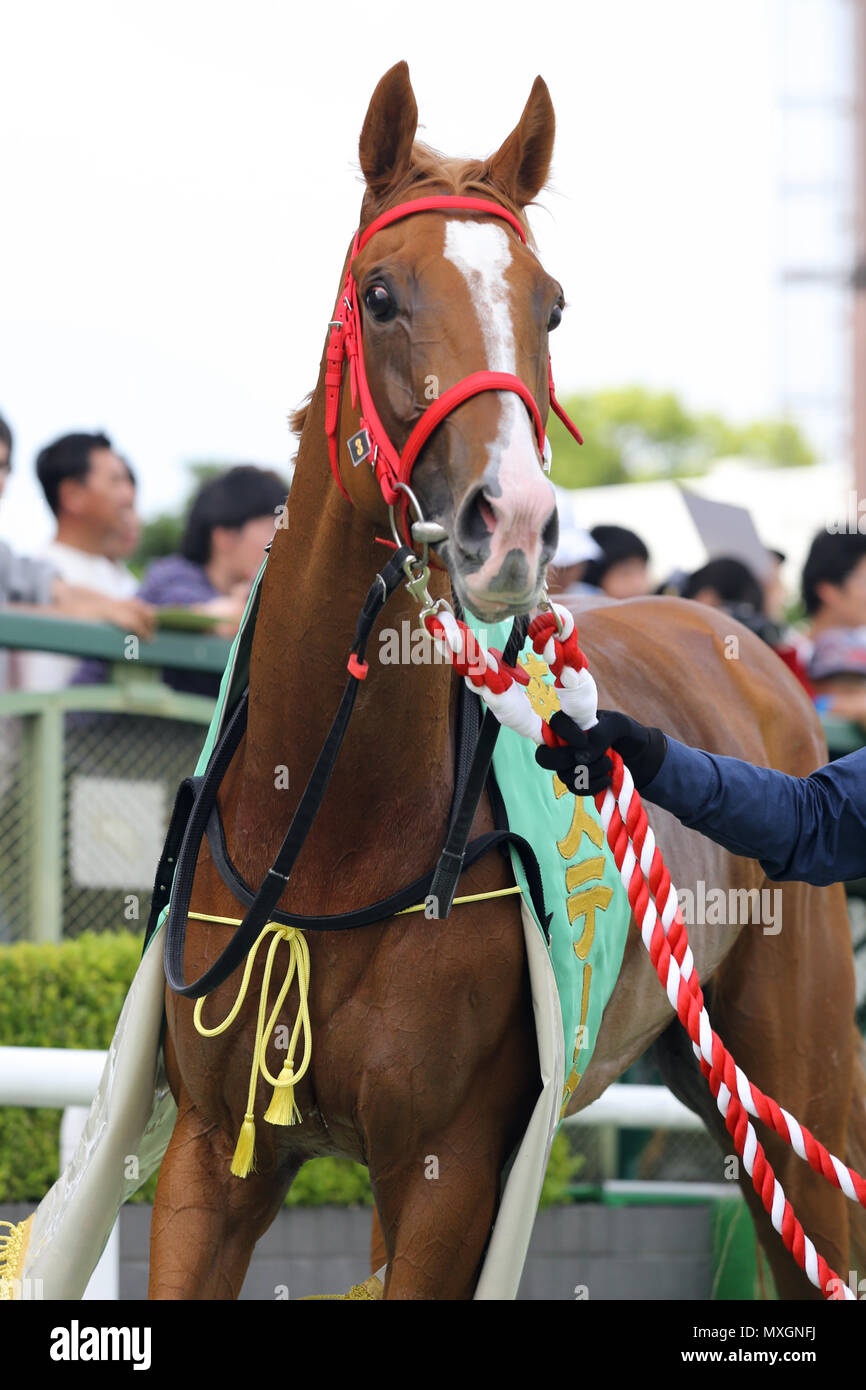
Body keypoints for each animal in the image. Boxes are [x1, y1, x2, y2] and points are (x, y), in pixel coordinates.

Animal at [148, 60, 866, 1300]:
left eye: (551, 306)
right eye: (380, 294)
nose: (515, 521)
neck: (330, 833)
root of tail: (740, 643)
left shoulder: (449, 1173)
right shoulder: (209, 1154)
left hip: (797, 1085)